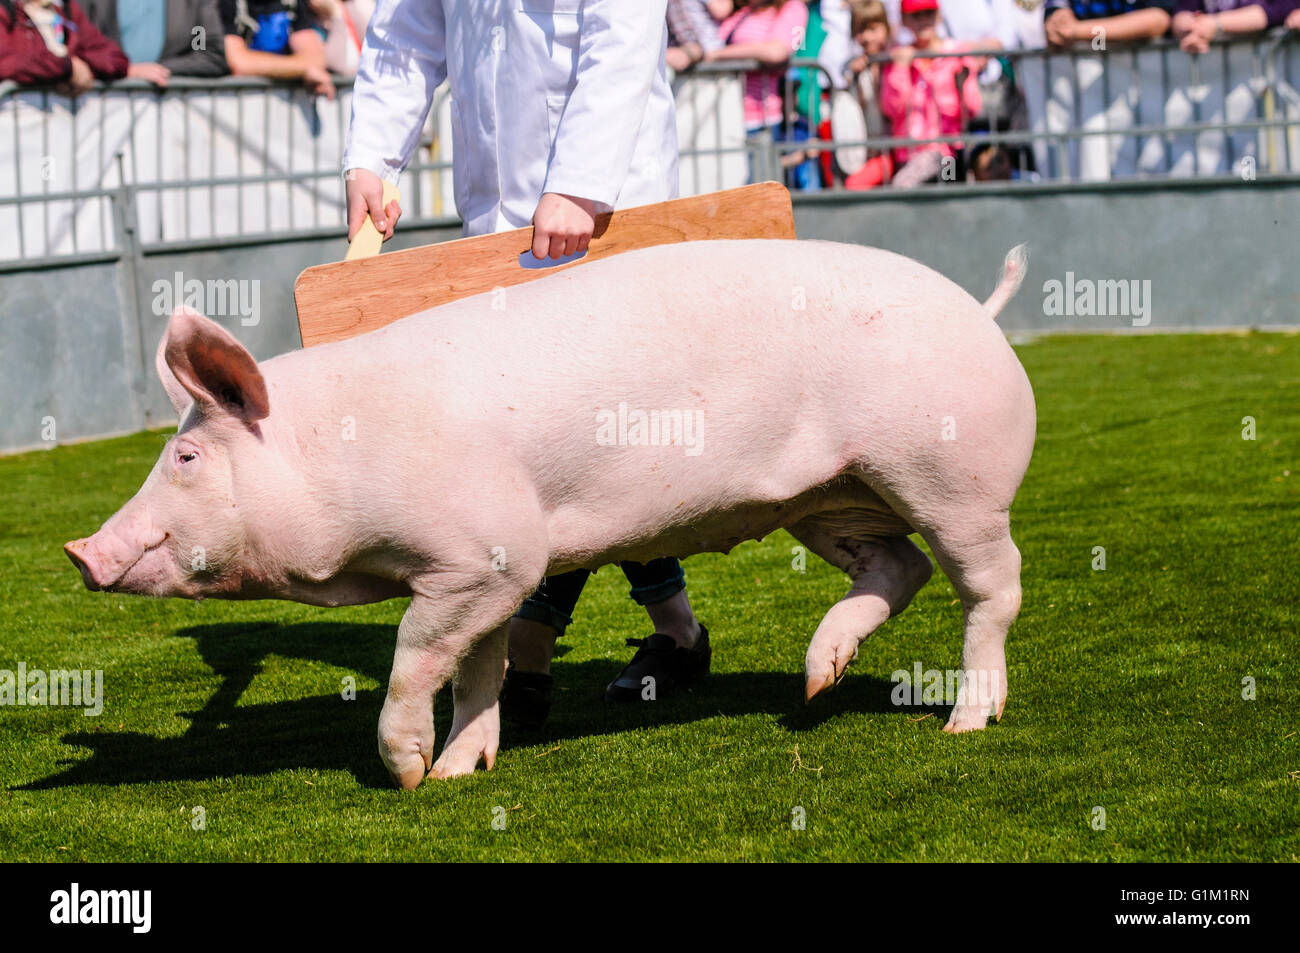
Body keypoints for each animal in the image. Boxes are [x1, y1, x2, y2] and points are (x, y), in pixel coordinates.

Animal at [65, 238, 1035, 790]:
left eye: (185, 459)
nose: (78, 550)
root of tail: (982, 310)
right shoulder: (488, 576)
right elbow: (477, 670)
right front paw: (463, 772)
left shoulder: (485, 552)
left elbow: (415, 657)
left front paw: (410, 777)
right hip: (828, 495)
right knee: (898, 564)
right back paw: (814, 682)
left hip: (951, 475)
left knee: (993, 584)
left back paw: (967, 719)